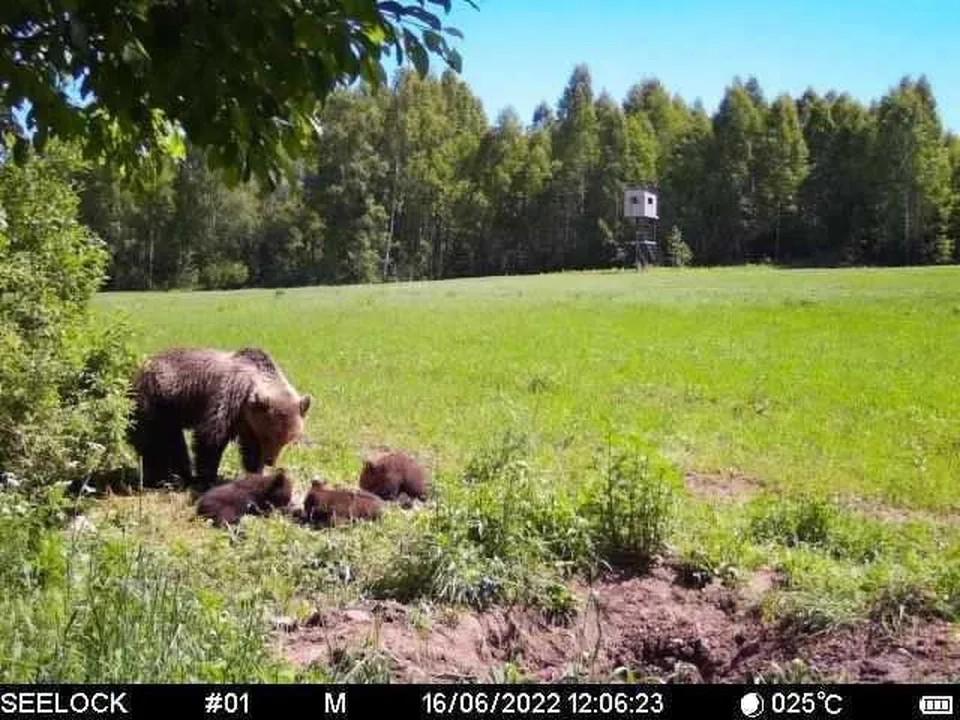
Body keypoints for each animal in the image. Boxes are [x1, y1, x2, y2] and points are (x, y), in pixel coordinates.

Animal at [129, 348, 312, 490]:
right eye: (268, 436)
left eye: (287, 440)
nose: (270, 461)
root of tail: (142, 365)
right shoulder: (226, 401)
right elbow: (210, 439)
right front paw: (207, 478)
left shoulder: (248, 423)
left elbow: (250, 450)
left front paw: (256, 472)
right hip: (155, 401)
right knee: (153, 441)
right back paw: (158, 477)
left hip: (169, 412)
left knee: (173, 442)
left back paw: (180, 475)